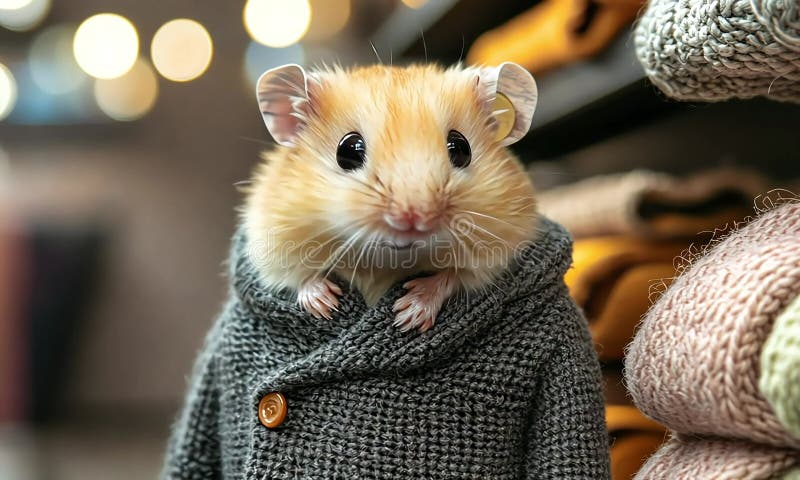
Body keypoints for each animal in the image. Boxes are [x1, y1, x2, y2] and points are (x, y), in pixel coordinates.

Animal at [244, 62, 539, 332]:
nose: (416, 219)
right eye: (348, 151)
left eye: (460, 148)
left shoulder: (495, 257)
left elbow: (451, 276)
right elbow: (300, 276)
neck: (385, 263)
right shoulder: (271, 246)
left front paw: (407, 317)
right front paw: (326, 307)